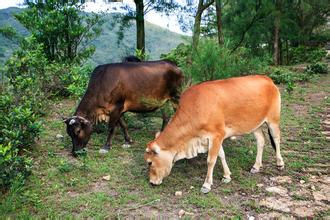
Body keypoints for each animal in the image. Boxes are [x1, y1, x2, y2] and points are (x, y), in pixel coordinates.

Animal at [144, 75, 284, 193]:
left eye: (150, 162)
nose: (151, 182)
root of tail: (267, 78)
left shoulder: (216, 135)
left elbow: (211, 160)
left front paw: (206, 185)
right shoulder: (214, 137)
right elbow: (221, 155)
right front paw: (227, 176)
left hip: (273, 120)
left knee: (276, 139)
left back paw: (279, 163)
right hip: (255, 124)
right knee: (261, 140)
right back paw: (256, 166)